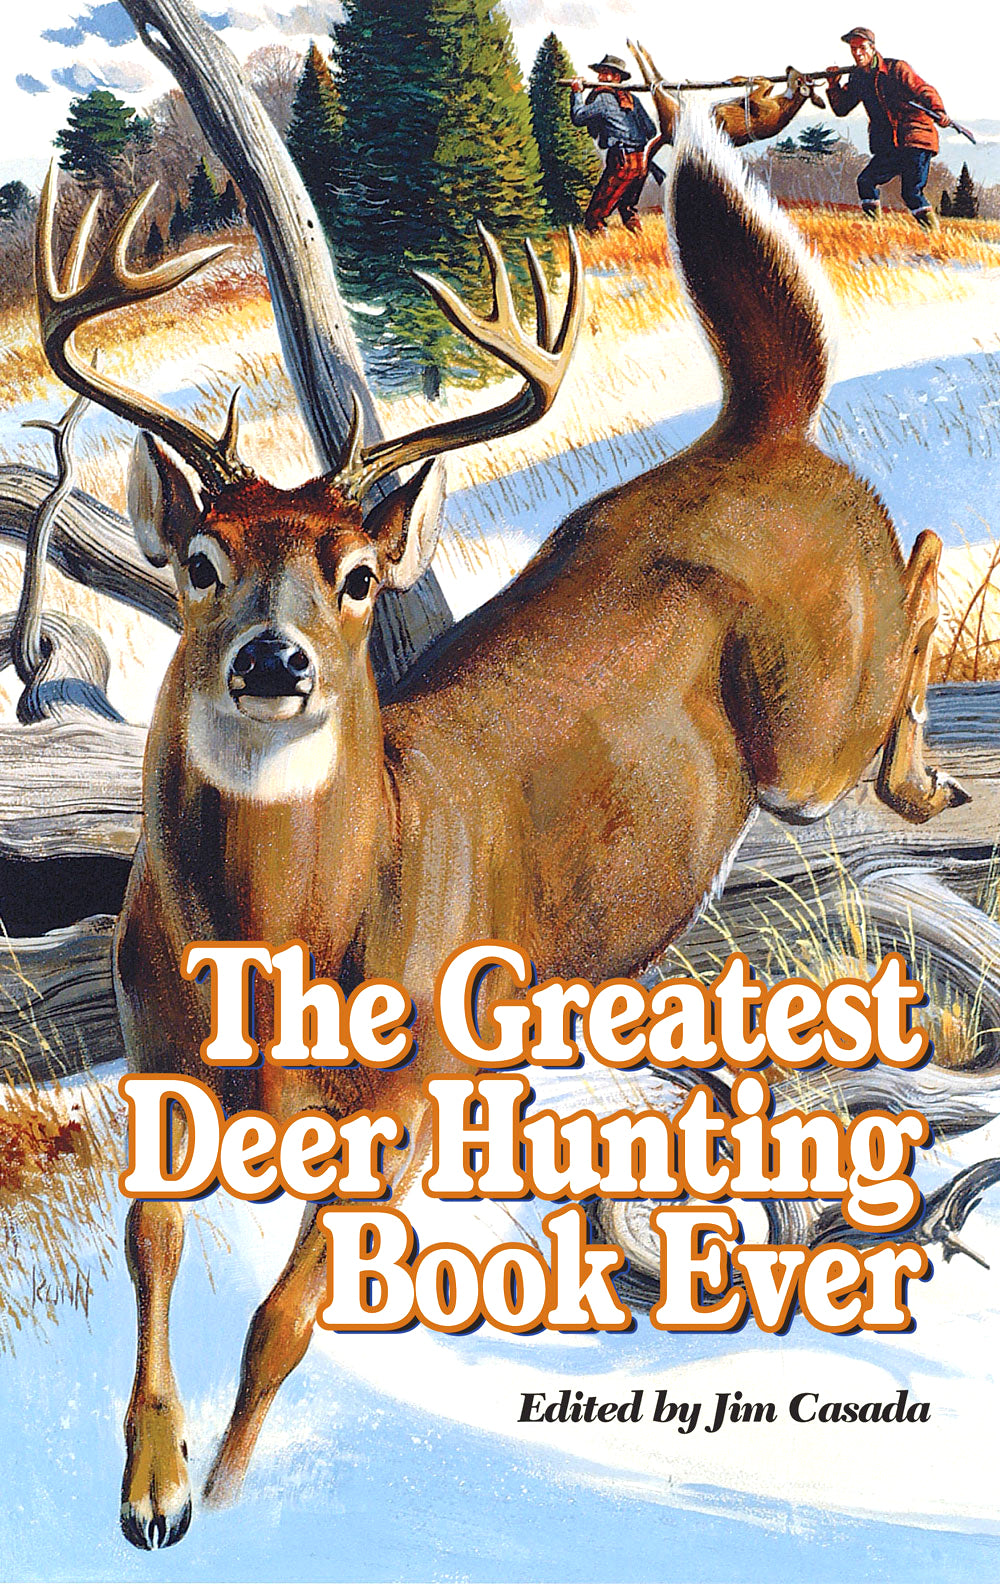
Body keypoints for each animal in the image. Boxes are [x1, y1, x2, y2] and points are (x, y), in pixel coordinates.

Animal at [36, 108, 967, 1549]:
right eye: (198, 566)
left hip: (813, 737)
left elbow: (286, 1313)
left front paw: (233, 1489)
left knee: (918, 563)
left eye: (357, 577)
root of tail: (761, 431)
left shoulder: (412, 1089)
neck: (279, 950)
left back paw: (927, 783)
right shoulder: (155, 1061)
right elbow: (154, 1248)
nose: (272, 662)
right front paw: (150, 1489)